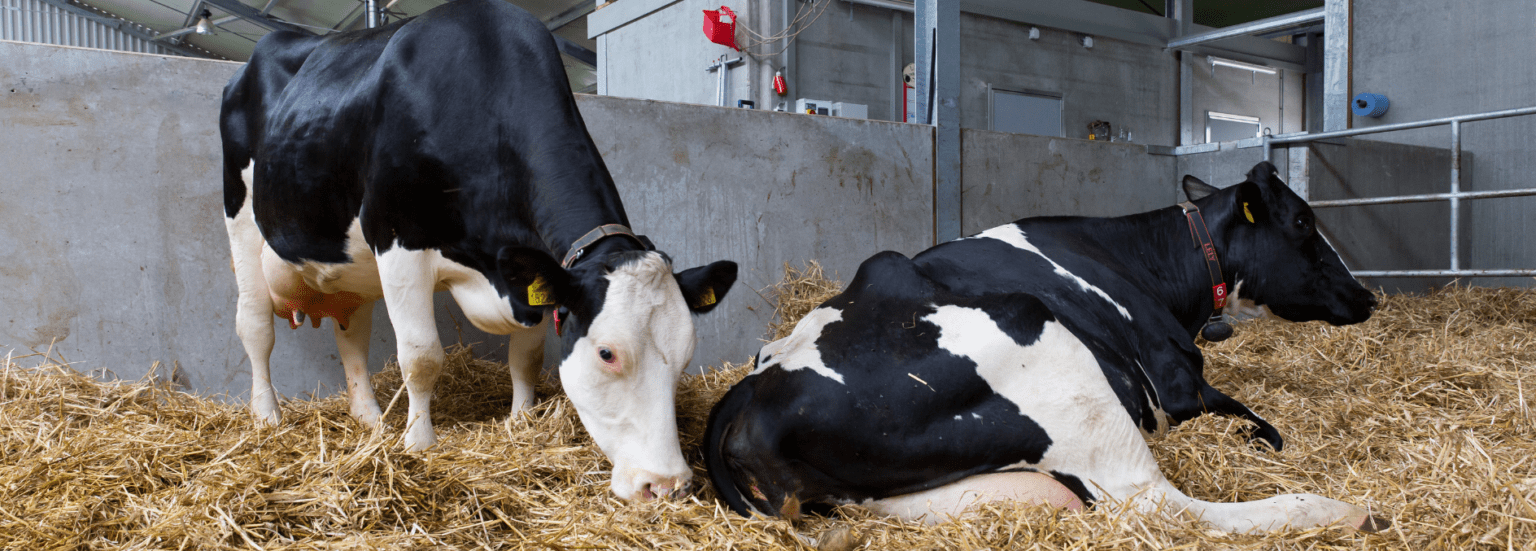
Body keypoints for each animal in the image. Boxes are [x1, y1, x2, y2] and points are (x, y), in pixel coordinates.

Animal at [219, 0, 737, 501]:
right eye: (607, 353)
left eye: (686, 351)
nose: (666, 485)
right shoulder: (396, 239)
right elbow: (421, 356)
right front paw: (419, 444)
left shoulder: (526, 271)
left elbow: (526, 356)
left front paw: (521, 422)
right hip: (241, 215)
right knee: (254, 326)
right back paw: (266, 415)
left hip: (350, 265)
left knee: (353, 335)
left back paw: (369, 418)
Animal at [705, 162, 1388, 532]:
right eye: (1303, 222)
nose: (1368, 296)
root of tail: (749, 389)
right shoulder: (1179, 385)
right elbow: (1259, 424)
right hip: (1056, 361)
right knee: (1162, 506)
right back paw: (1338, 510)